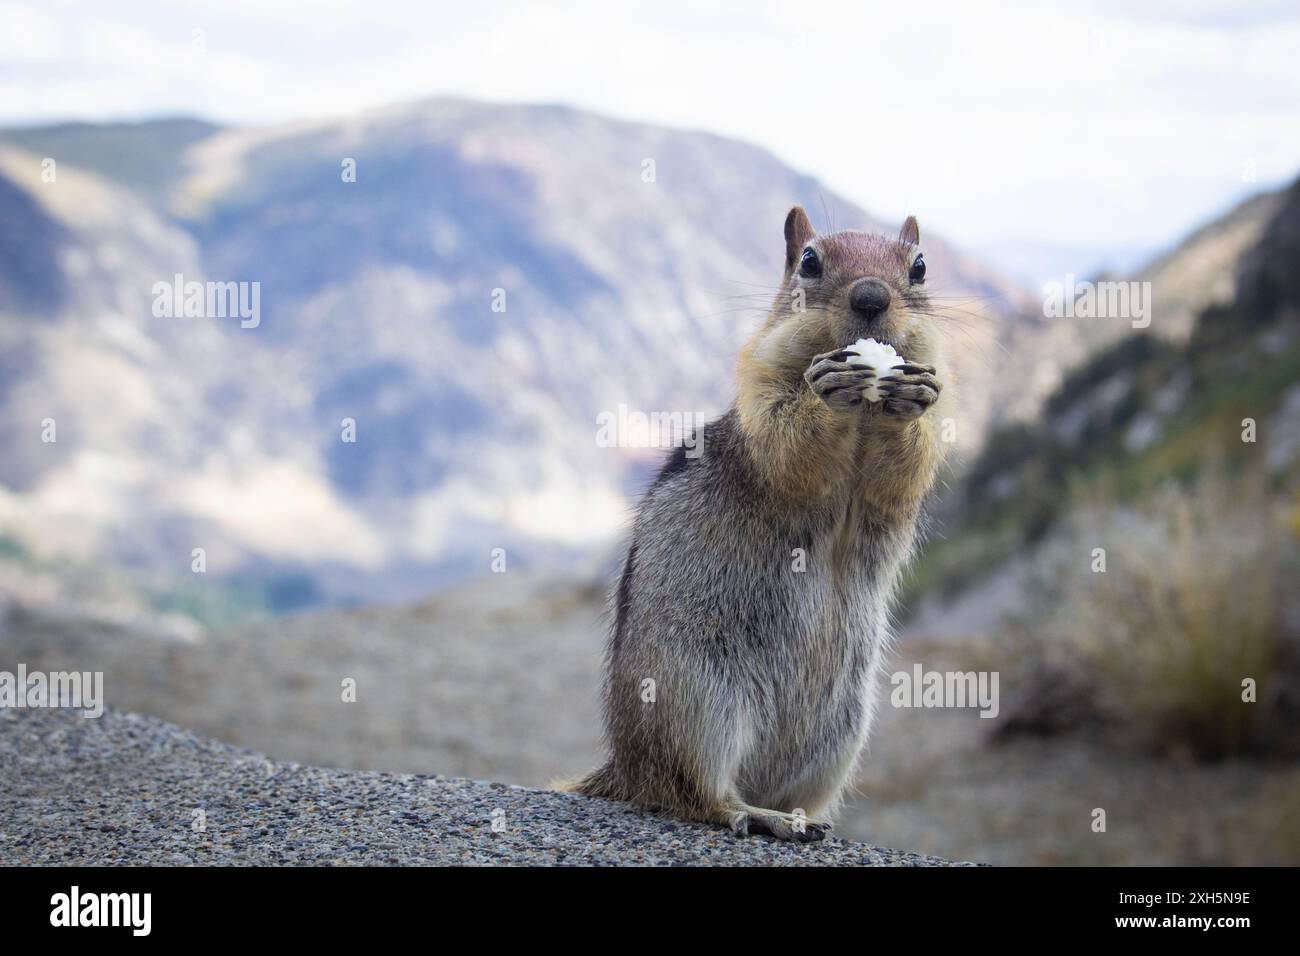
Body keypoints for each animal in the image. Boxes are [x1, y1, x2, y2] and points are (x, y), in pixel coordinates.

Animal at [559, 207, 952, 841]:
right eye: (810, 261)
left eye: (918, 267)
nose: (871, 296)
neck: (864, 420)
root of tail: (627, 768)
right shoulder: (761, 397)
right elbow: (790, 445)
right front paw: (827, 392)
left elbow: (906, 469)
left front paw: (913, 397)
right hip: (698, 703)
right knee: (694, 793)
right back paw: (753, 814)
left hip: (842, 734)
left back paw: (799, 817)